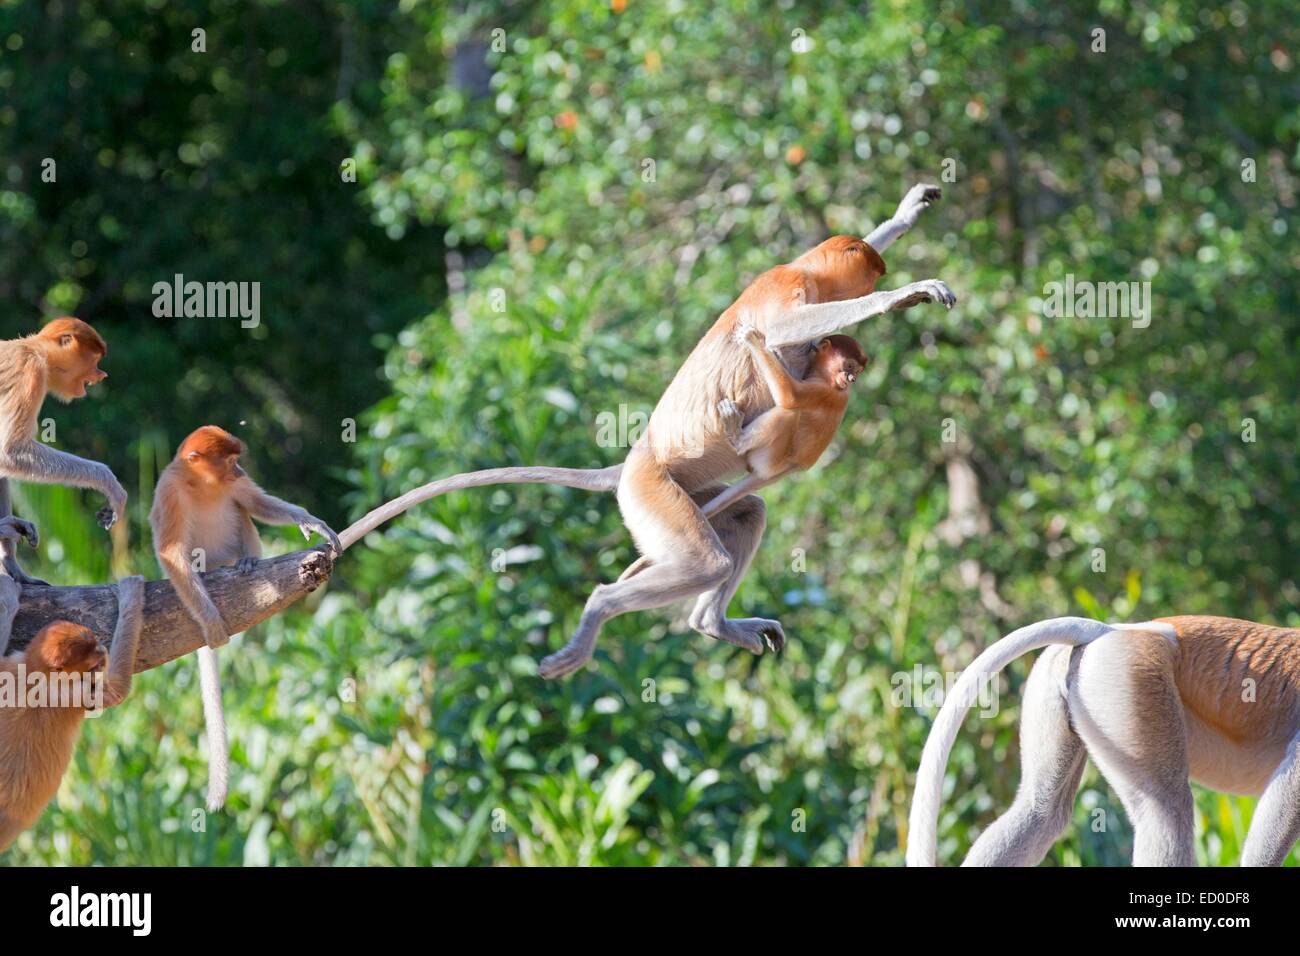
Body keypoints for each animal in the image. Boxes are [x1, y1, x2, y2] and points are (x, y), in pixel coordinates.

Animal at [0, 317, 129, 655]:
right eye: (94, 359)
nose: (102, 374)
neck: (33, 349)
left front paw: (14, 567)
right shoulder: (31, 371)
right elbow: (11, 451)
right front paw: (109, 483)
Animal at [0, 572, 144, 852]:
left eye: (97, 642)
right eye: (94, 664)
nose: (104, 652)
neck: (39, 674)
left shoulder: (9, 667)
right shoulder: (73, 690)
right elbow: (116, 690)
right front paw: (130, 594)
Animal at [149, 425, 340, 811]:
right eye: (229, 461)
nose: (239, 471)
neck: (202, 485)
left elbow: (255, 502)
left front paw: (312, 522)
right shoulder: (170, 490)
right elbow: (171, 551)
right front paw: (211, 622)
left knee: (243, 510)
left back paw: (248, 561)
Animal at [336, 183, 953, 678]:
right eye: (872, 274)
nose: (882, 277)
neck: (807, 273)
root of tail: (632, 460)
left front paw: (907, 212)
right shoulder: (788, 282)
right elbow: (782, 329)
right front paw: (904, 294)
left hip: (691, 495)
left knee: (747, 514)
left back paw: (714, 624)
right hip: (652, 495)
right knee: (703, 562)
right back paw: (601, 611)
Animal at [907, 615, 1300, 867]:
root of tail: (1113, 630)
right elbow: (1290, 793)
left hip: (1064, 679)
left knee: (1039, 811)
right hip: (1129, 678)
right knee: (1164, 806)